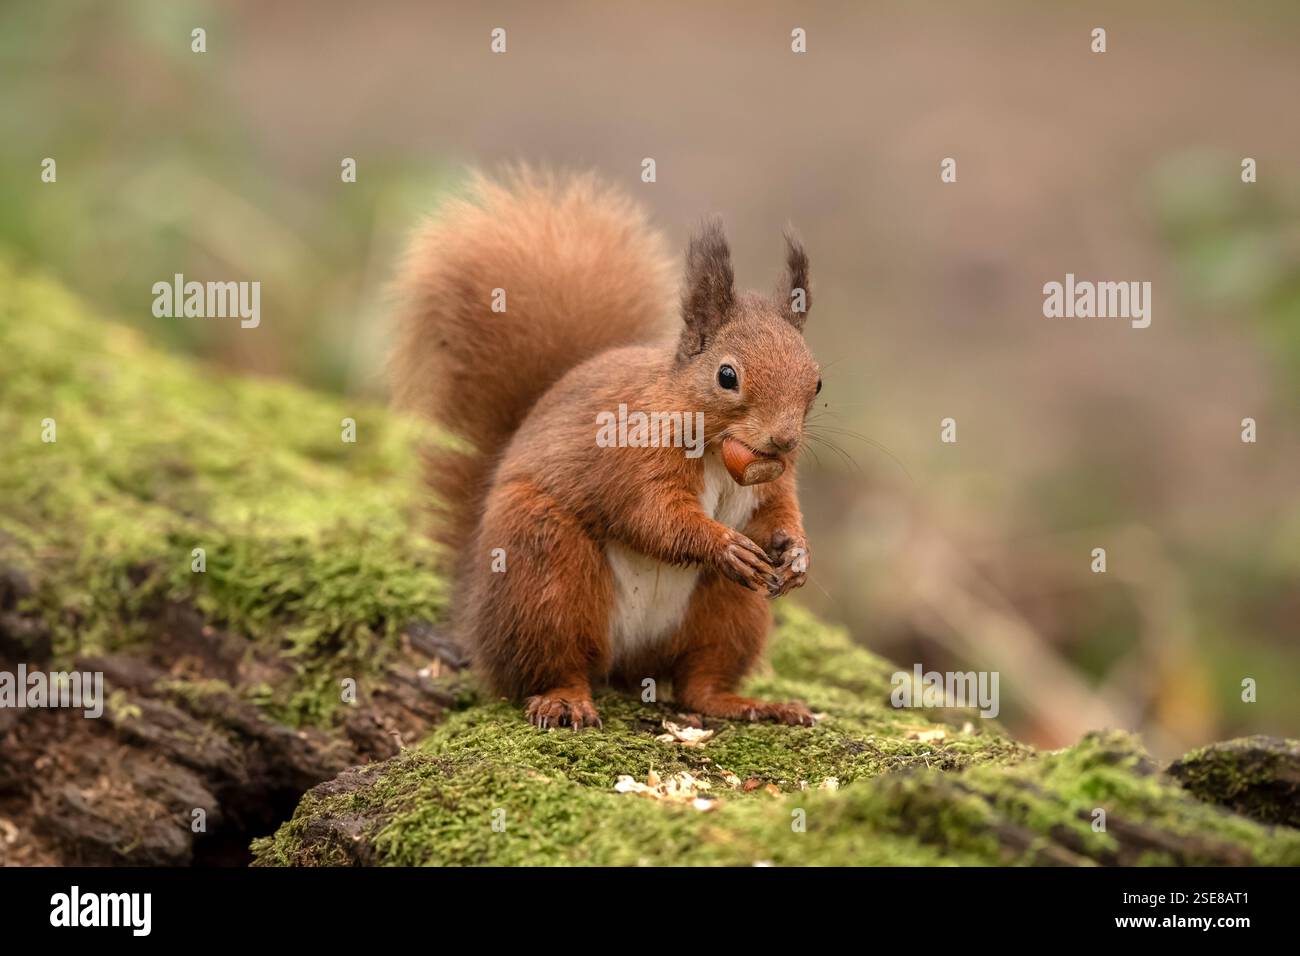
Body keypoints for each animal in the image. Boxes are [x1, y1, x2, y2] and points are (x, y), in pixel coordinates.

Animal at [392, 168, 821, 729]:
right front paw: (722, 544)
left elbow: (777, 515)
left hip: (731, 610)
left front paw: (797, 555)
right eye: (727, 376)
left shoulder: (774, 483)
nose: (784, 440)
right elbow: (653, 515)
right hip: (544, 566)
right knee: (556, 662)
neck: (717, 451)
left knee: (699, 684)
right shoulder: (631, 455)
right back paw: (564, 700)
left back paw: (753, 705)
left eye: (817, 382)